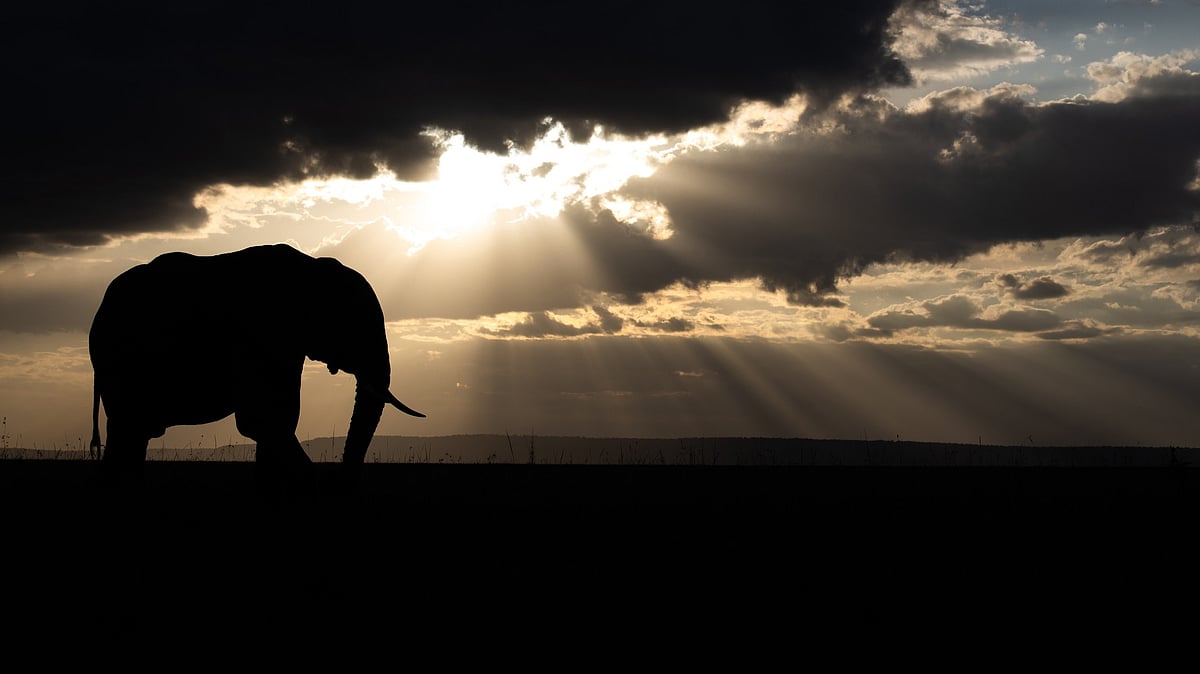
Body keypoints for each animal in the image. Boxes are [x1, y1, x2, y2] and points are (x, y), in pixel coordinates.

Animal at [88, 243, 424, 489]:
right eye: (355, 327)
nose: (342, 482)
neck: (313, 269)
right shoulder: (263, 336)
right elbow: (263, 419)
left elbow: (277, 419)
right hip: (120, 362)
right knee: (129, 429)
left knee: (133, 434)